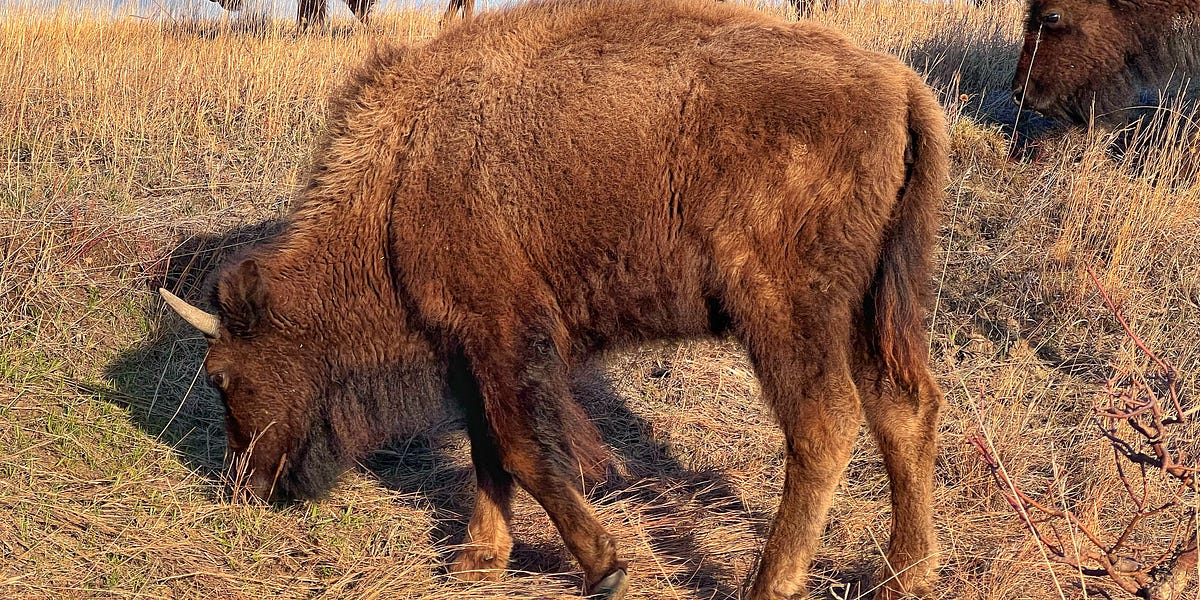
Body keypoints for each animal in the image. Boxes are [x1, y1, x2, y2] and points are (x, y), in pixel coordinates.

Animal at [160, 0, 949, 597]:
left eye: (222, 376)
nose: (245, 487)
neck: (399, 179)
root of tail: (899, 85)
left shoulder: (504, 333)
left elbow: (524, 449)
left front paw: (604, 567)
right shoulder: (470, 347)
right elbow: (488, 449)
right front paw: (479, 559)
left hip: (783, 309)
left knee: (824, 423)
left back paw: (771, 582)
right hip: (873, 306)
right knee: (901, 407)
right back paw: (903, 575)